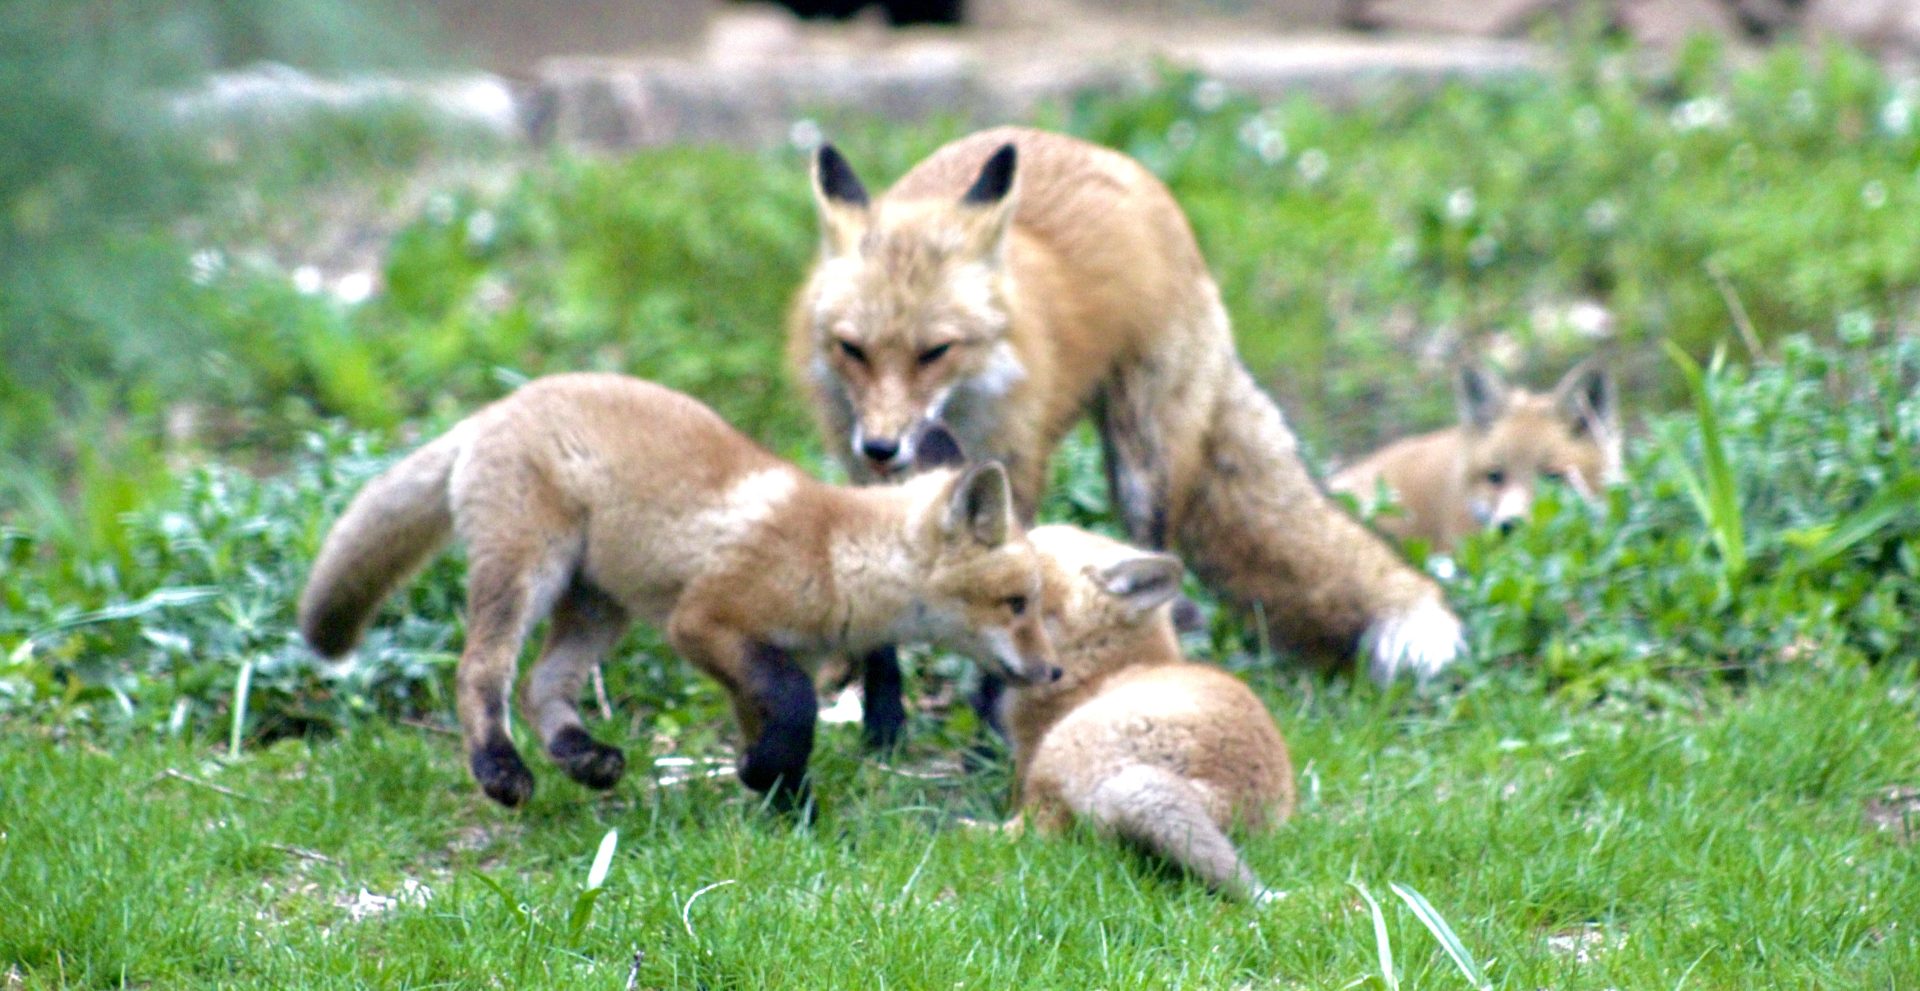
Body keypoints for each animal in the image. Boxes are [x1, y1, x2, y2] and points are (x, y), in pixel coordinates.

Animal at [297, 372, 1059, 811]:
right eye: (1018, 603)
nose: (1054, 672)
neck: (836, 557)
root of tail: (498, 406)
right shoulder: (704, 622)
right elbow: (796, 707)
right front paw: (771, 786)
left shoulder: (761, 656)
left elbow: (779, 732)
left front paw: (786, 807)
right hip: (529, 573)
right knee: (481, 670)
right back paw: (500, 768)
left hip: (600, 605)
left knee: (542, 684)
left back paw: (583, 756)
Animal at [789, 126, 1462, 691]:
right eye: (852, 349)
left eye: (934, 352)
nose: (881, 447)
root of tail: (1107, 156)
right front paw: (850, 686)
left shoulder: (1013, 467)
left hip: (1144, 458)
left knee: (1155, 558)